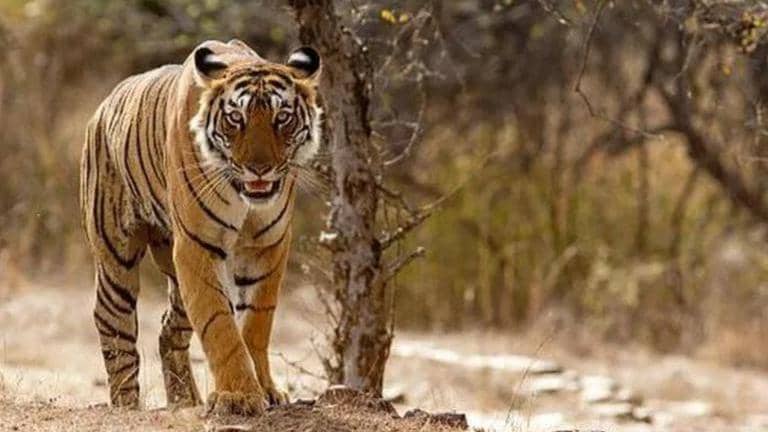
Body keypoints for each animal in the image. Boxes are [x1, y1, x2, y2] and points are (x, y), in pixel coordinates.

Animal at [79, 39, 323, 416]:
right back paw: (126, 405)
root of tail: (103, 106)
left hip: (175, 279)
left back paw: (184, 400)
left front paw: (265, 390)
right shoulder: (197, 246)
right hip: (116, 257)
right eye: (236, 118)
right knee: (113, 323)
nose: (259, 169)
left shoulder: (267, 245)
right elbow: (218, 323)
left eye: (282, 117)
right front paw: (239, 396)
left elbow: (256, 322)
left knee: (168, 329)